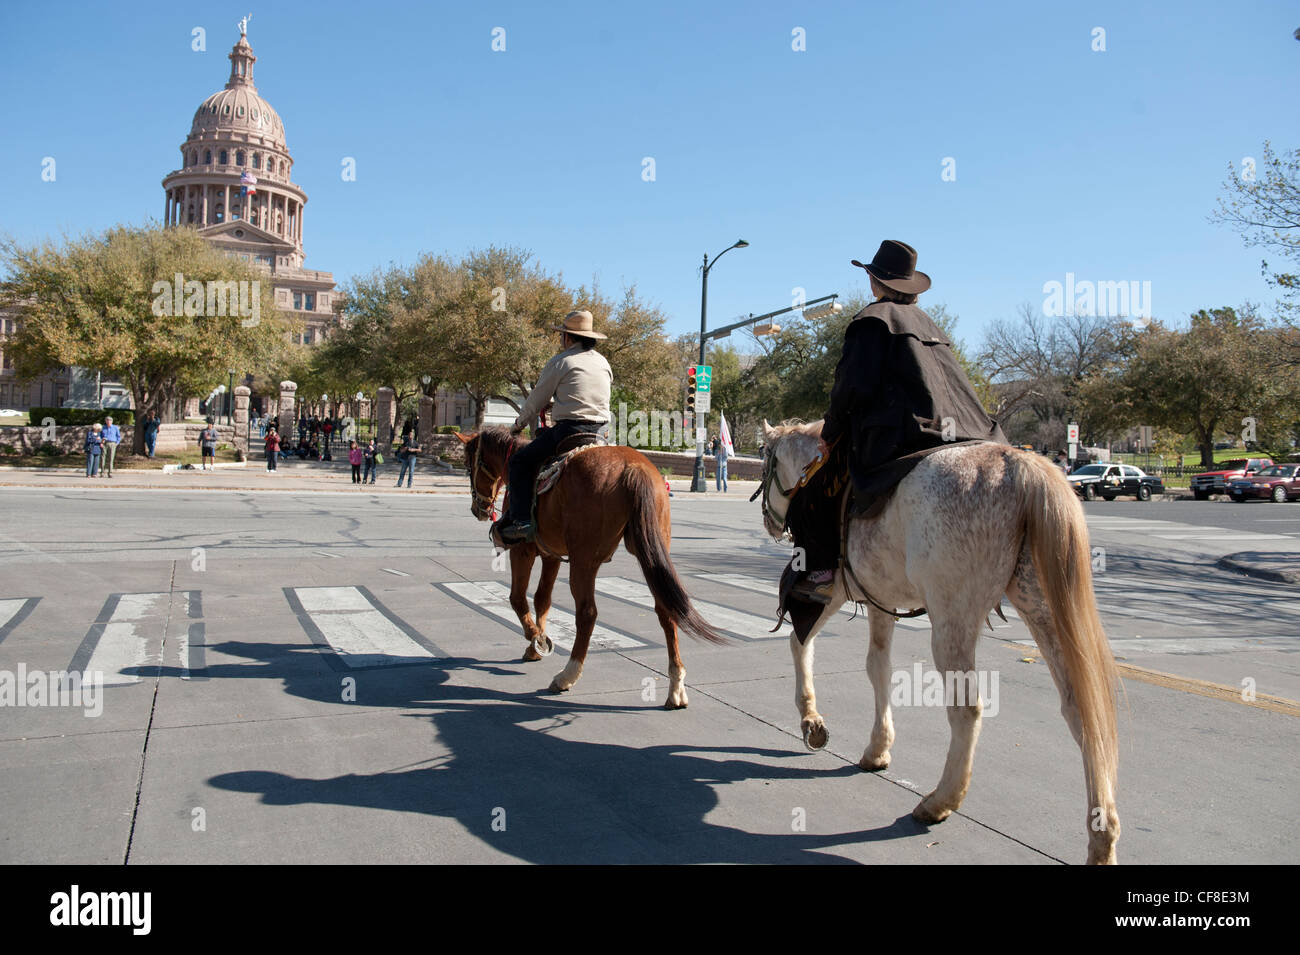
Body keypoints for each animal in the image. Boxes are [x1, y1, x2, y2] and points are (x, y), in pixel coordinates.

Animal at [455, 427, 723, 706]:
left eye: (468, 464)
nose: (478, 509)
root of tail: (633, 467)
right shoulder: (551, 556)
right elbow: (542, 600)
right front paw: (536, 644)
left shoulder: (523, 551)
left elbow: (517, 598)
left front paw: (536, 638)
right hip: (650, 553)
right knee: (666, 612)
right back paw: (676, 688)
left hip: (583, 560)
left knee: (587, 613)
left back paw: (567, 675)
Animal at [759, 420, 1121, 865]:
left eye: (766, 461)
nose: (769, 521)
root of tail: (1020, 465)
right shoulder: (882, 600)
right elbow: (878, 667)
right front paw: (878, 748)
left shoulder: (836, 589)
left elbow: (800, 642)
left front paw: (812, 721)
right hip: (1043, 606)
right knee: (1081, 710)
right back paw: (1102, 838)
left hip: (952, 619)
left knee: (967, 708)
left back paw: (941, 801)